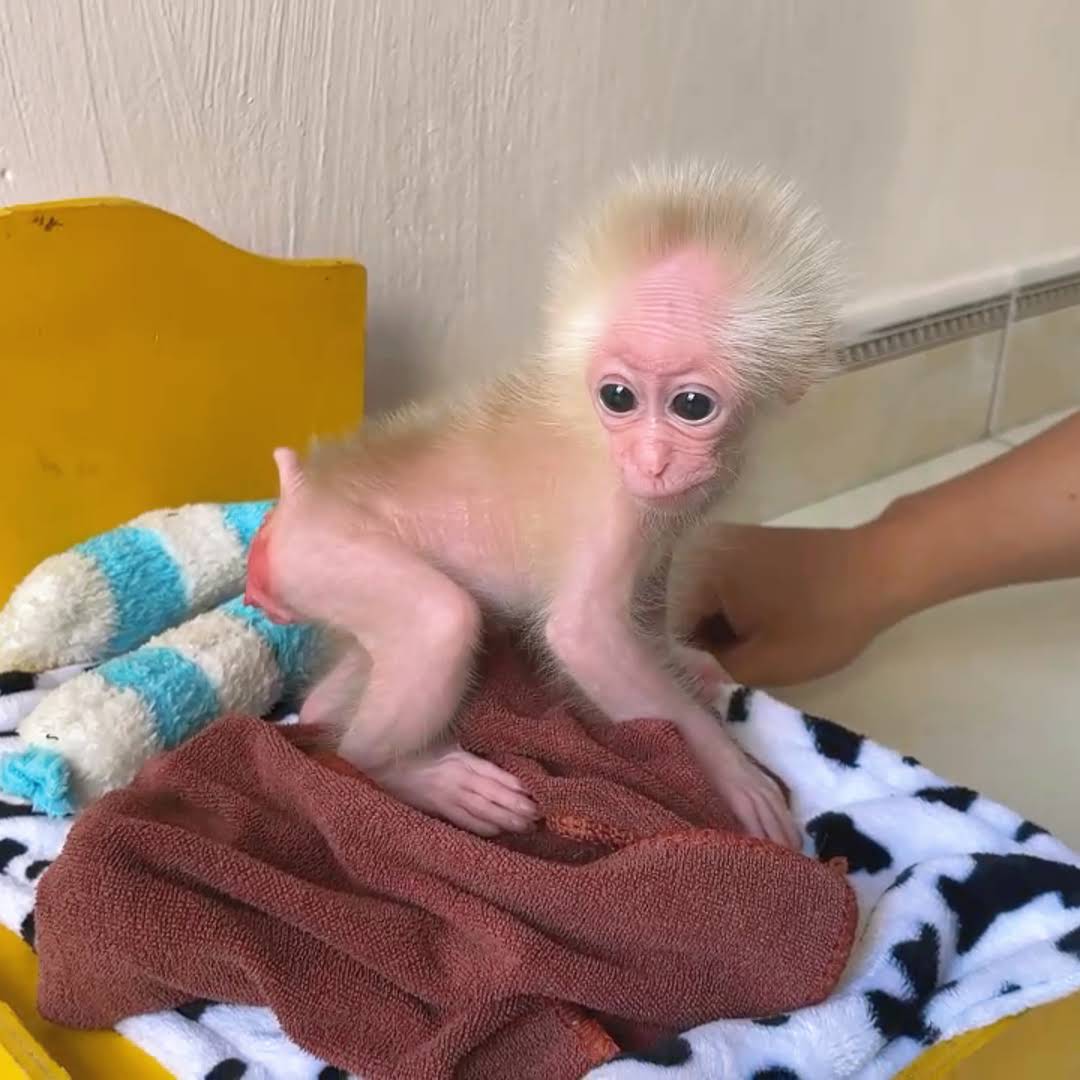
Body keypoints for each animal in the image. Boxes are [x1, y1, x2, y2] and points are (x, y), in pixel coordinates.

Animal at [244, 160, 841, 850]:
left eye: (692, 406)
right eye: (618, 396)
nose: (651, 461)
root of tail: (302, 492)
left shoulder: (669, 514)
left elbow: (647, 608)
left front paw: (685, 659)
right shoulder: (617, 508)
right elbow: (585, 636)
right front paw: (729, 771)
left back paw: (324, 714)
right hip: (321, 549)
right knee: (437, 622)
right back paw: (404, 772)